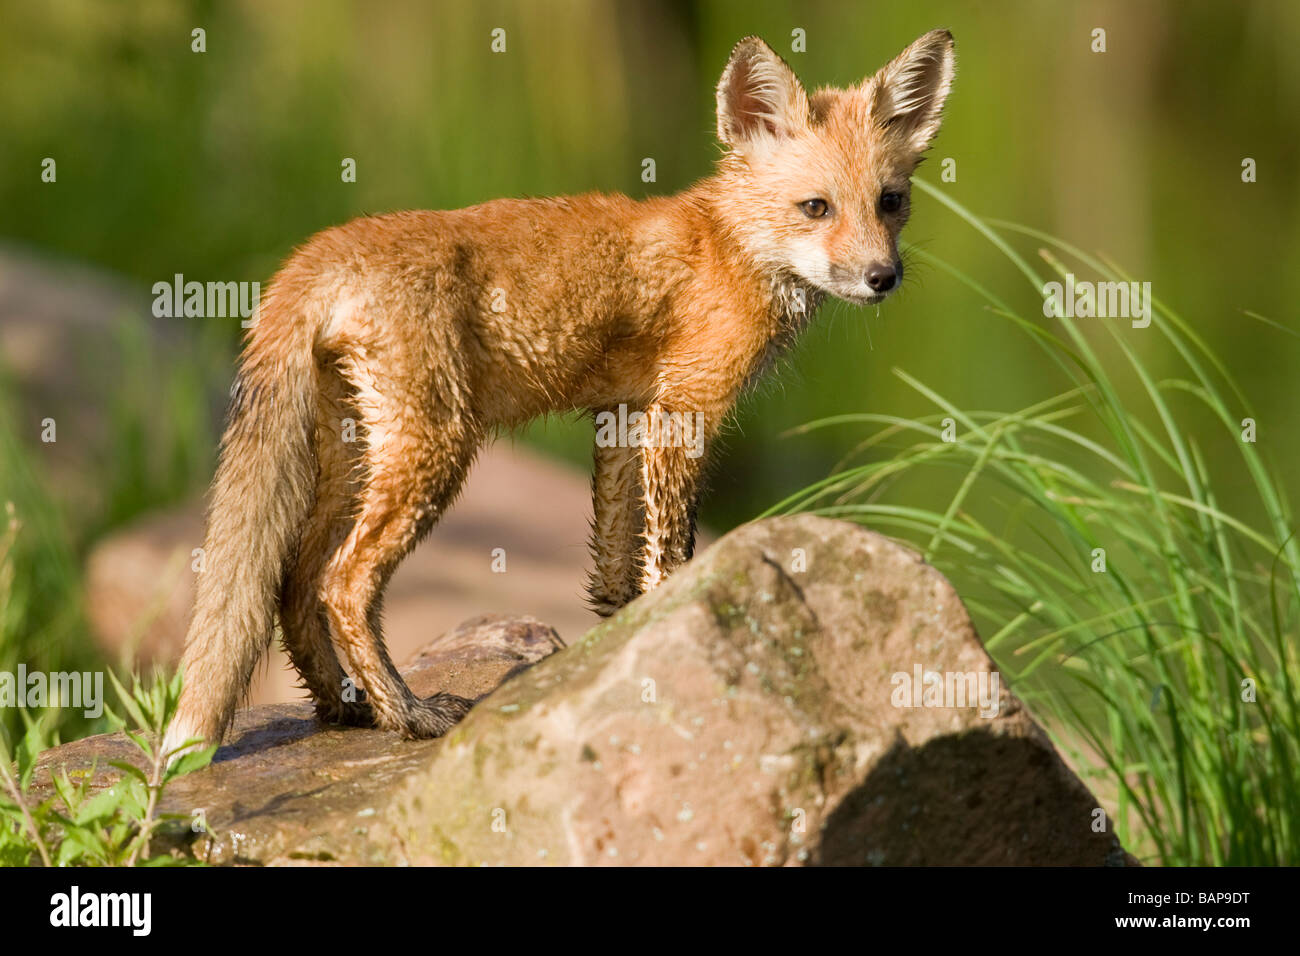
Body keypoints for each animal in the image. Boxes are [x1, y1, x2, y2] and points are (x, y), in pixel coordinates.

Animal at [163, 29, 956, 756]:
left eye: (890, 203)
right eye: (816, 207)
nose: (882, 278)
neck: (728, 247)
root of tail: (318, 250)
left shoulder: (624, 413)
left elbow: (616, 562)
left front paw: (620, 642)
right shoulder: (684, 410)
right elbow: (671, 551)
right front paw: (676, 630)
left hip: (352, 458)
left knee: (292, 584)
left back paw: (345, 708)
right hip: (434, 452)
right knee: (341, 584)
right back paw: (408, 715)